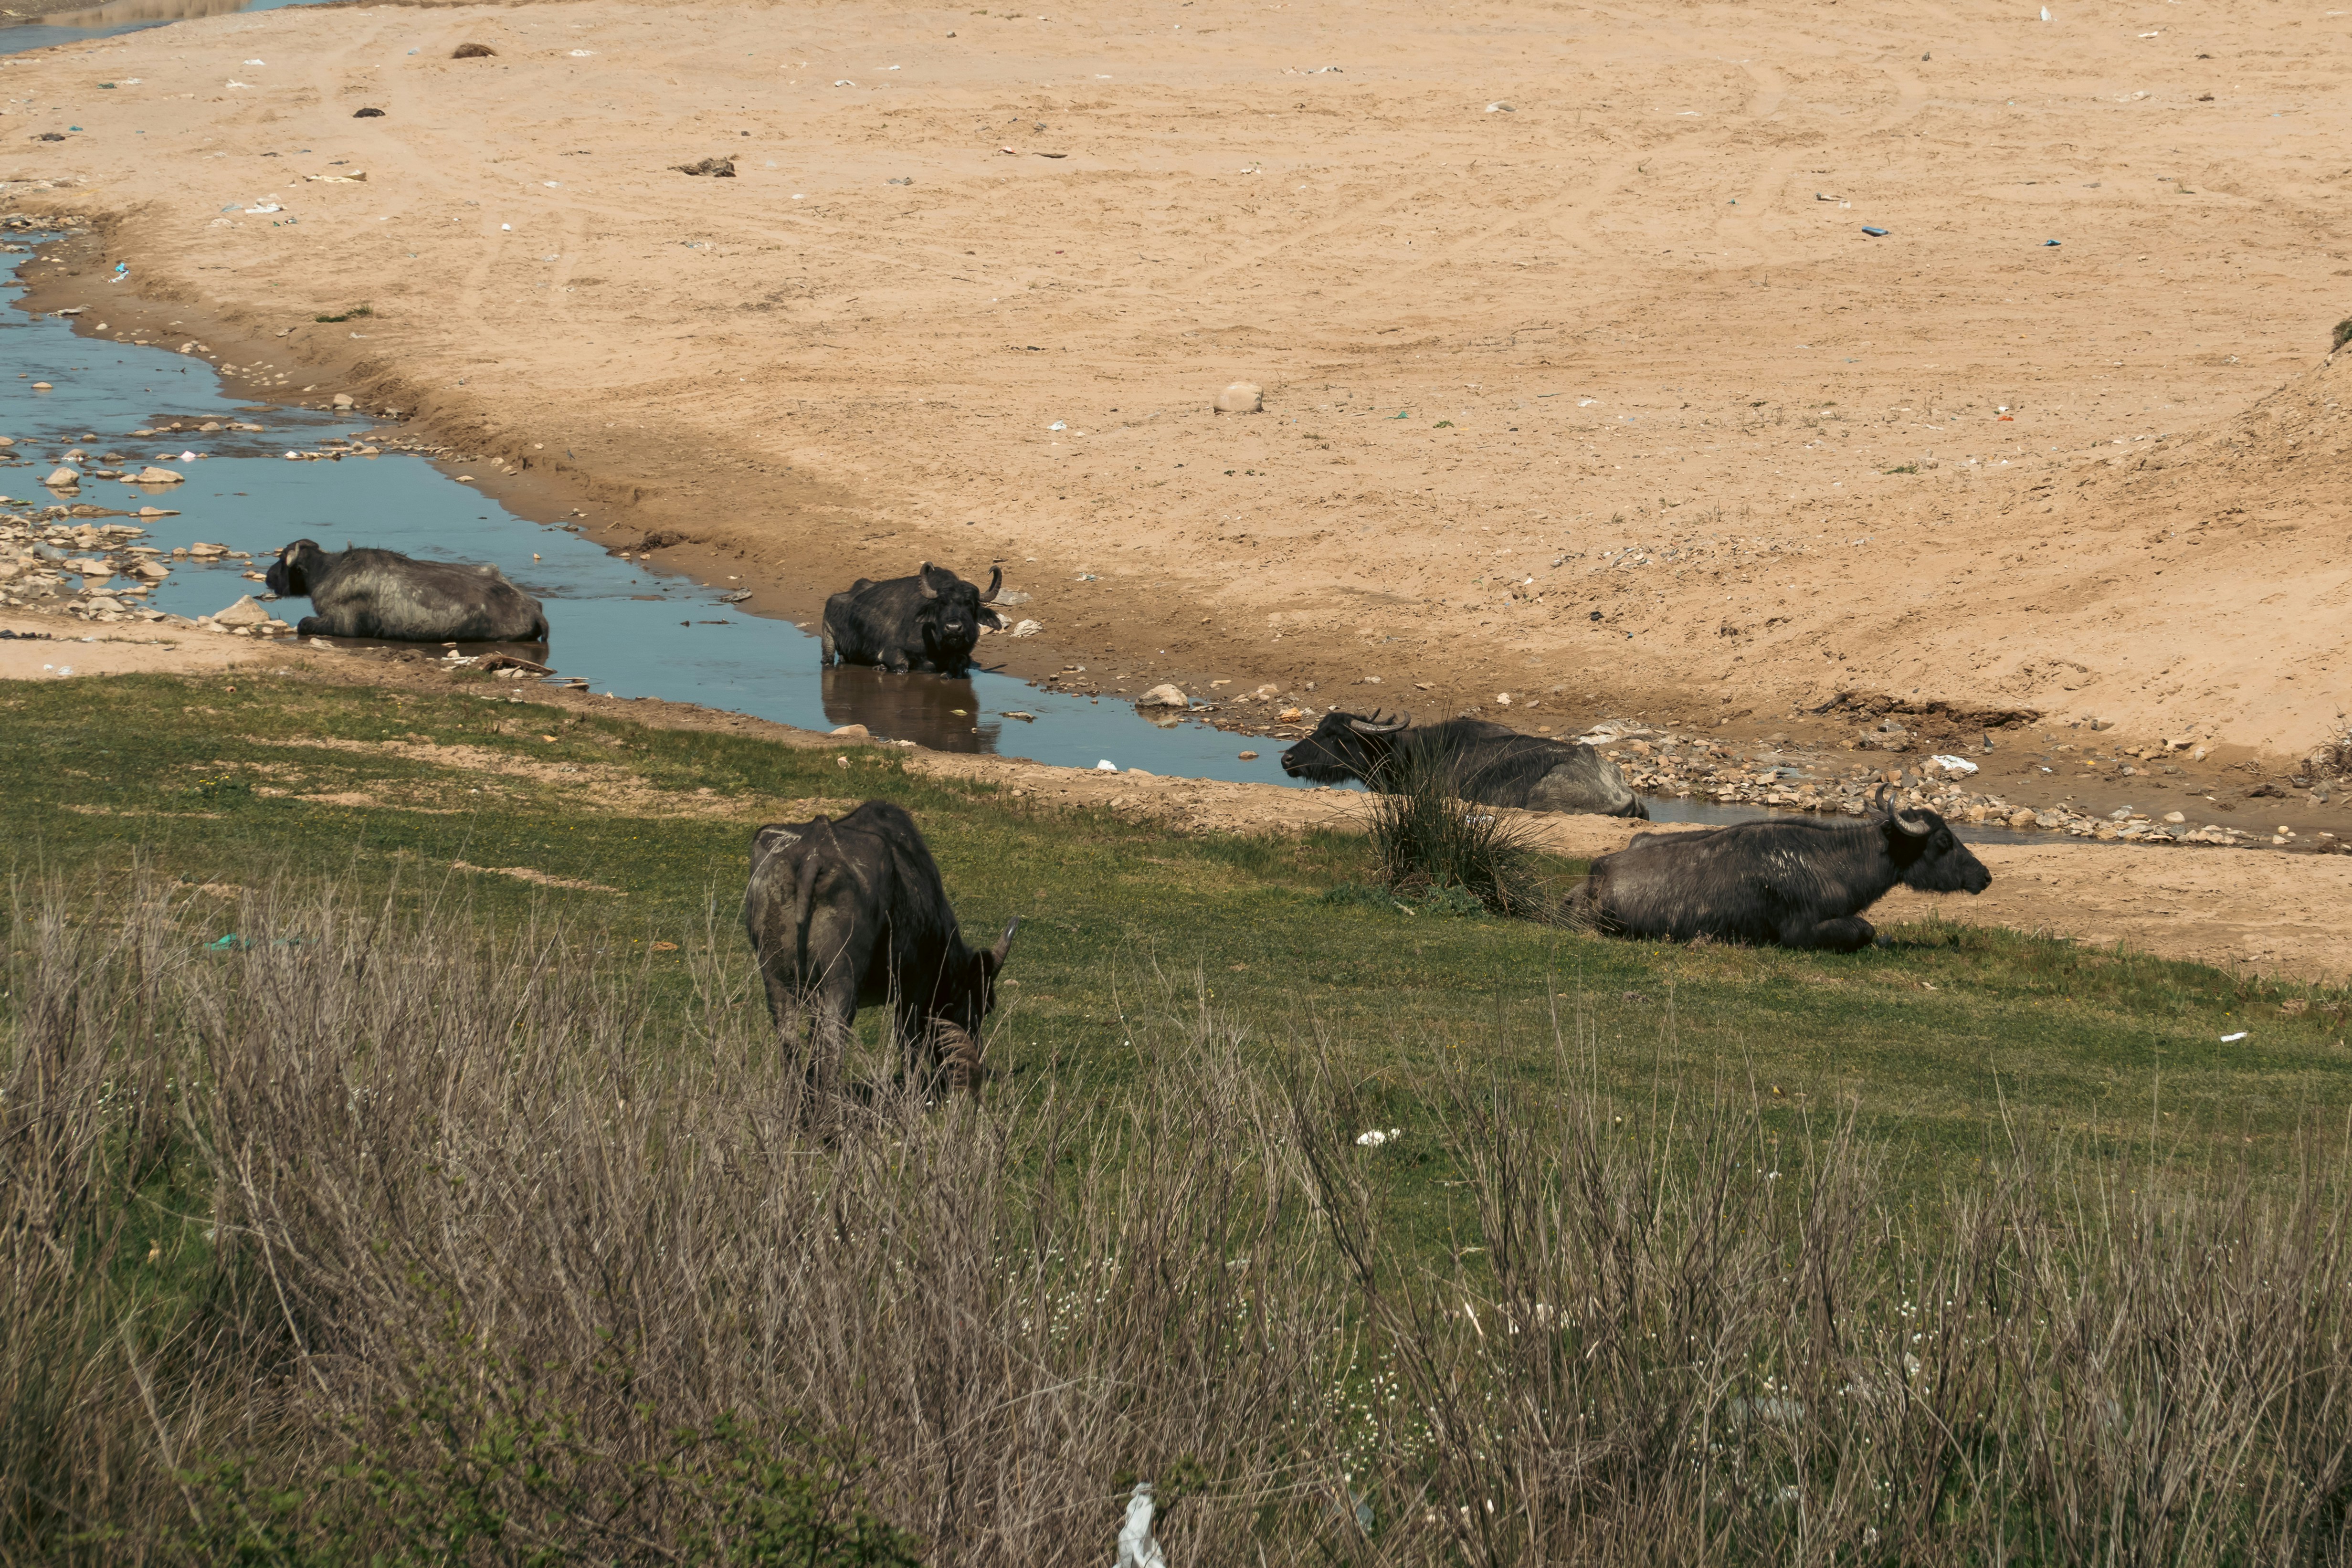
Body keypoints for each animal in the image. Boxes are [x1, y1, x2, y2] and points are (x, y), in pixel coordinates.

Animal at [263, 539, 549, 643]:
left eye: (281, 560)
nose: (268, 576)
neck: (328, 571)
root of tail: (533, 607)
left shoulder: (340, 623)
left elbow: (304, 623)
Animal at [741, 800, 1017, 1100]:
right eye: (984, 1005)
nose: (973, 1065)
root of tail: (815, 852)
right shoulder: (913, 987)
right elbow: (909, 1041)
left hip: (775, 975)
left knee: (790, 1038)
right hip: (842, 978)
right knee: (832, 1040)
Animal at [820, 562, 1004, 676]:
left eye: (969, 604)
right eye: (941, 603)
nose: (953, 628)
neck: (938, 648)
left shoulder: (964, 653)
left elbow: (961, 663)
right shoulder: (892, 651)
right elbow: (901, 665)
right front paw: (882, 666)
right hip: (827, 633)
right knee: (827, 659)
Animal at [1564, 794, 1991, 950]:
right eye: (1944, 841)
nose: (1985, 876)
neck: (1833, 862)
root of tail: (1597, 874)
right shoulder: (1799, 932)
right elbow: (1864, 930)